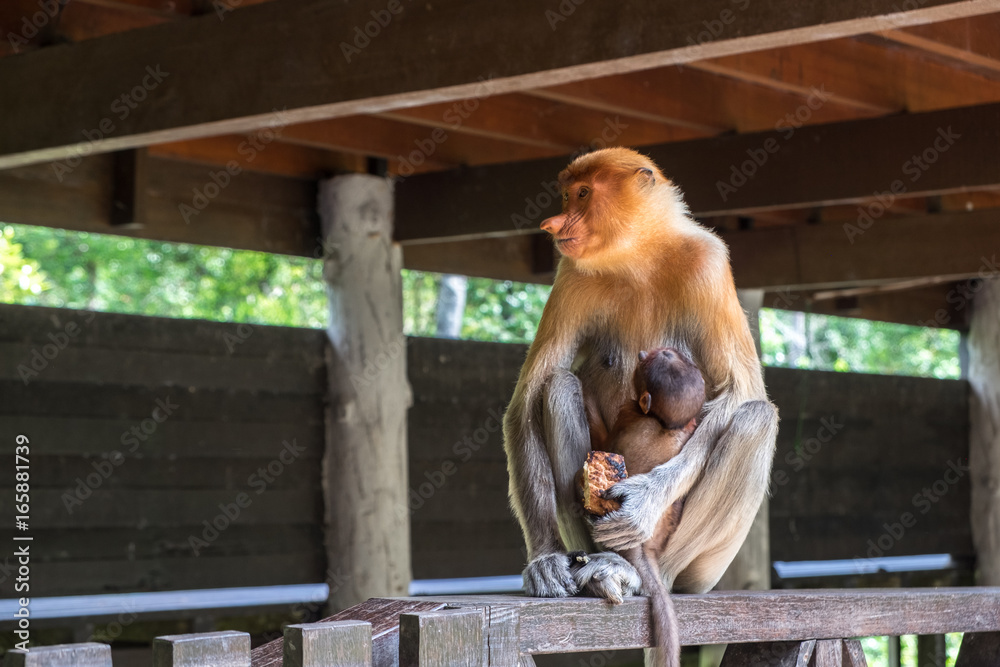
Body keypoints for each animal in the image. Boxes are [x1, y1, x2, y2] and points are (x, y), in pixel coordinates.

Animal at [583, 346, 706, 667]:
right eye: (666, 352)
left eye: (650, 360)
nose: (641, 352)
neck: (665, 423)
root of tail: (647, 545)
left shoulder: (628, 412)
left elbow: (604, 441)